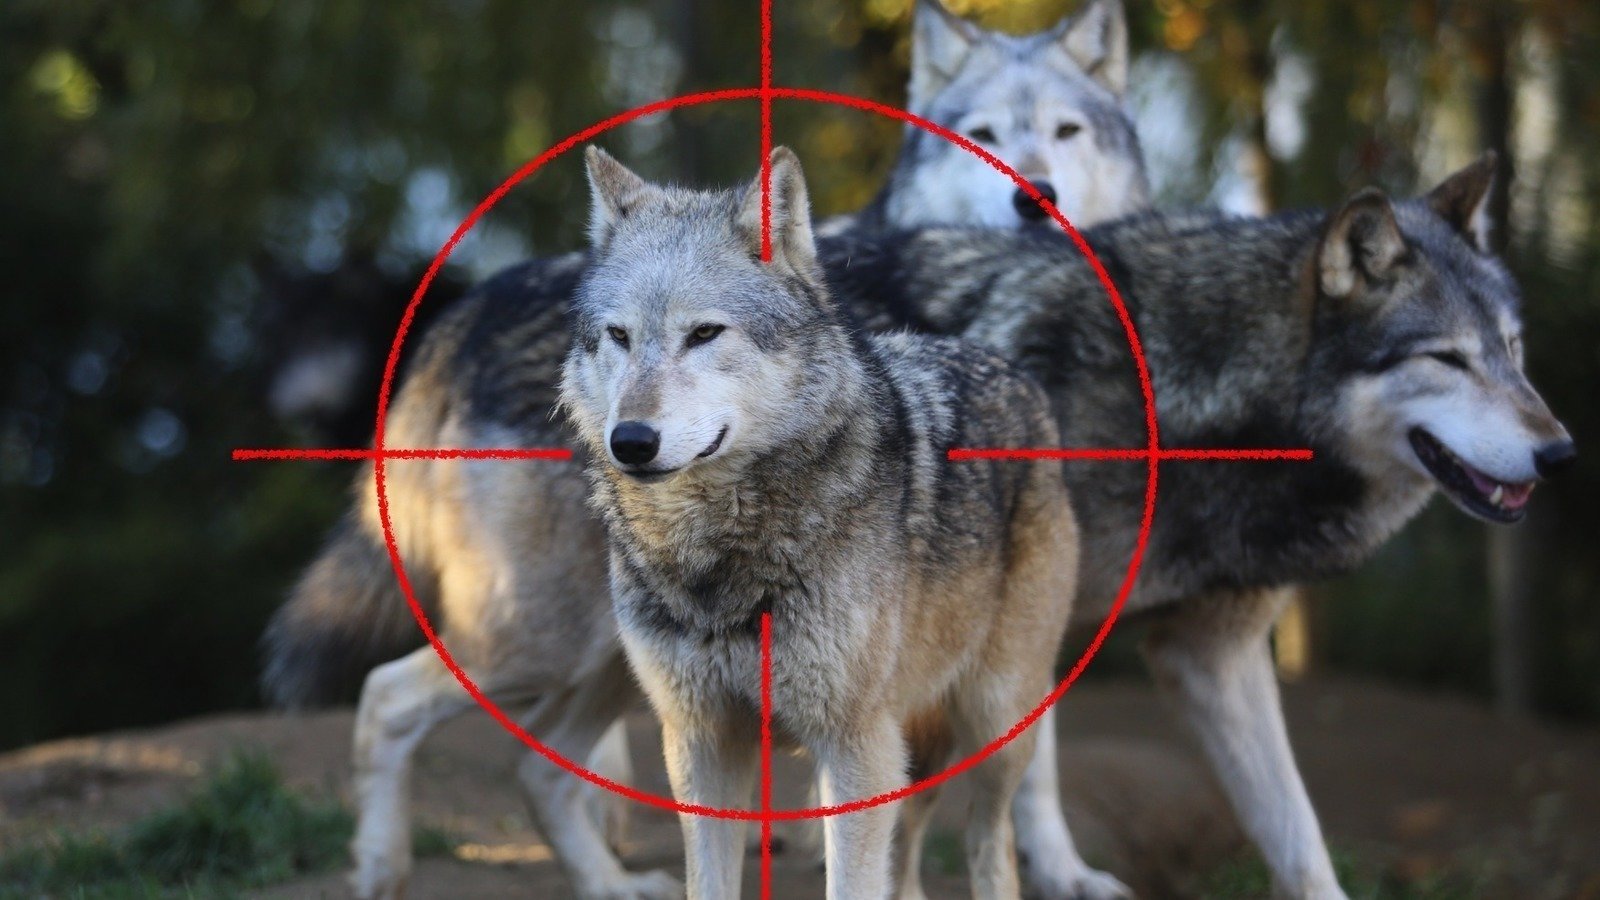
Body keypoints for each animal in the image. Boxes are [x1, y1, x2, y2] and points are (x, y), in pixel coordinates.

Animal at [564, 145, 1084, 899]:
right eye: (619, 337)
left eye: (704, 333)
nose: (630, 440)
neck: (719, 553)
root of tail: (1011, 370)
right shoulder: (701, 741)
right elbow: (709, 881)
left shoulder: (853, 744)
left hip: (993, 720)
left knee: (992, 840)